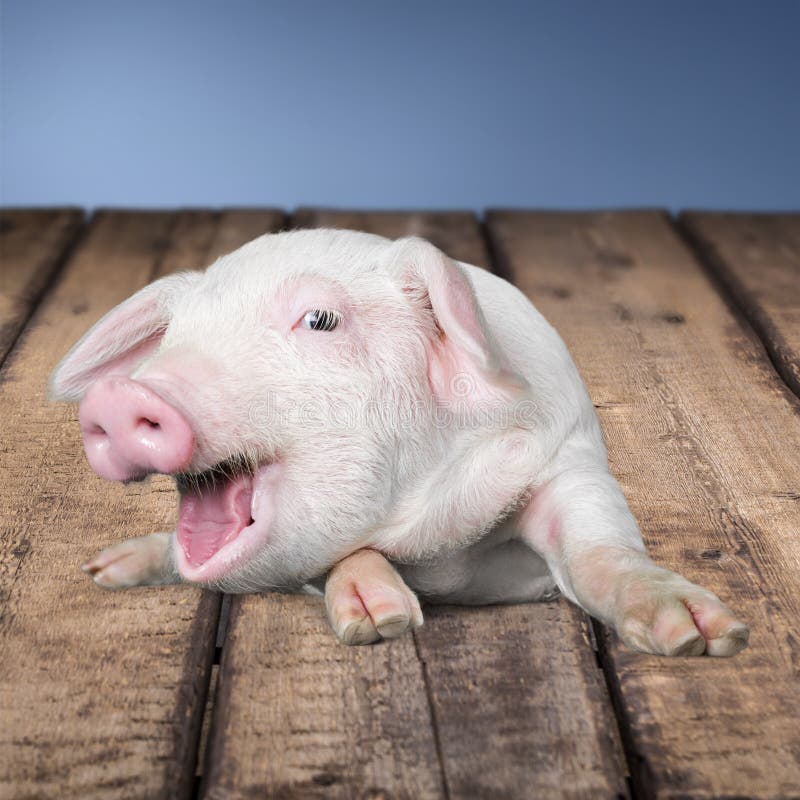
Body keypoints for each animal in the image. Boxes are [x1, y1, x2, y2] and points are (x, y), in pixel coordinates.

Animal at [49, 229, 749, 656]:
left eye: (320, 319)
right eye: (174, 335)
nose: (120, 396)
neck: (436, 545)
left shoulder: (567, 454)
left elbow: (599, 543)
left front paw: (704, 636)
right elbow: (341, 556)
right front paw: (382, 624)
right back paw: (104, 570)